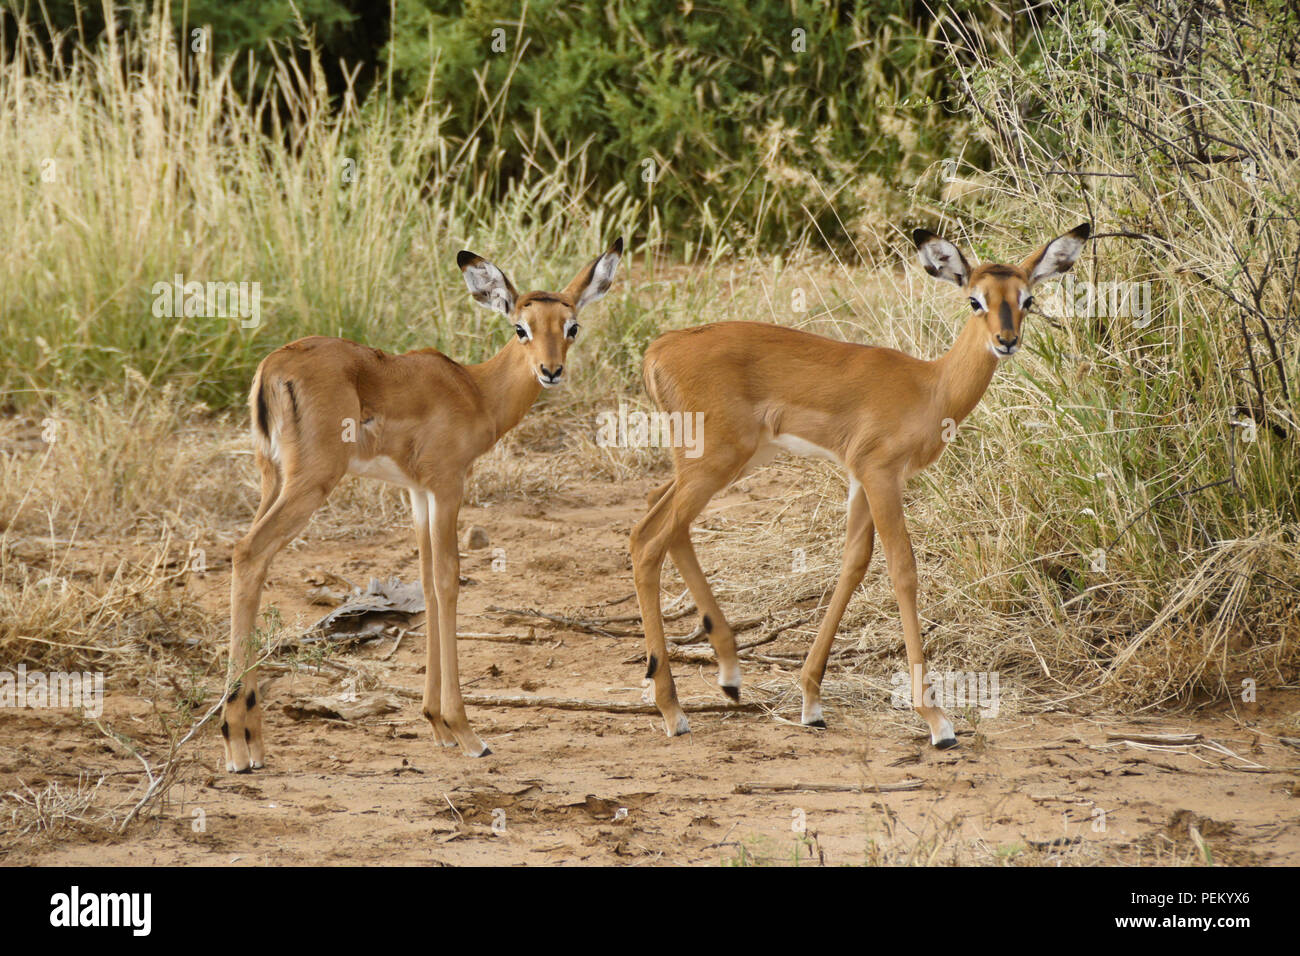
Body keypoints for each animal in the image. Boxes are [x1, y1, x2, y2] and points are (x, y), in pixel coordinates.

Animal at [220, 239, 623, 770]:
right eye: (521, 327)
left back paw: (252, 739)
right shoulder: (449, 485)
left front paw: (436, 723)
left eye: (571, 326)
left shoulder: (417, 493)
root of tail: (272, 366)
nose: (550, 371)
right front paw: (466, 731)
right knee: (248, 553)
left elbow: (428, 584)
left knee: (250, 559)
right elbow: (449, 581)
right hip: (309, 484)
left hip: (272, 480)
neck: (474, 390)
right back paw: (237, 742)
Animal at [630, 224, 1090, 746]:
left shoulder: (859, 479)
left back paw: (729, 676)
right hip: (715, 462)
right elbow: (902, 571)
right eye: (975, 299)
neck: (930, 386)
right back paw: (673, 711)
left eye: (1026, 298)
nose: (1006, 340)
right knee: (647, 539)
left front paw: (811, 701)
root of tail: (657, 350)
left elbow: (853, 564)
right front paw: (936, 720)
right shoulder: (881, 475)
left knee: (660, 514)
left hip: (722, 462)